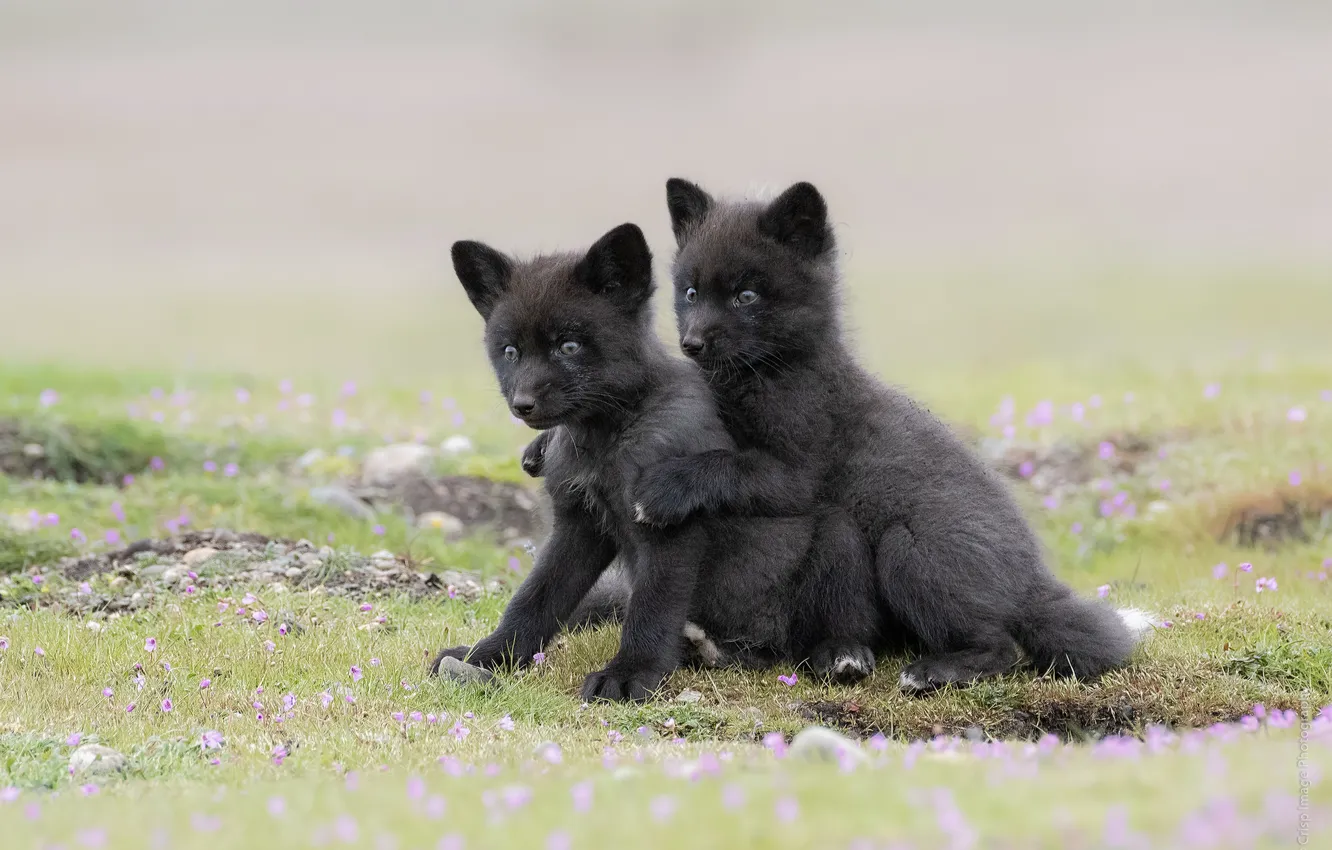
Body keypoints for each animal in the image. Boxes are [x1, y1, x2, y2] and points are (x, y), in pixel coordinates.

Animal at [431, 222, 866, 700]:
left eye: (569, 346)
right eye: (510, 351)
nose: (523, 405)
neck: (606, 441)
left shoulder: (669, 532)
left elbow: (651, 609)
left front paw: (629, 674)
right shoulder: (578, 525)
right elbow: (534, 600)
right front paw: (490, 655)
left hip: (835, 535)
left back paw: (835, 653)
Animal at [622, 177, 1154, 692]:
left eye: (746, 296)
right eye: (691, 293)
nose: (691, 343)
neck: (774, 376)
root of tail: (1031, 581)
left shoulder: (798, 472)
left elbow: (725, 464)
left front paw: (663, 489)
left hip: (909, 552)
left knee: (1001, 647)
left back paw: (930, 672)